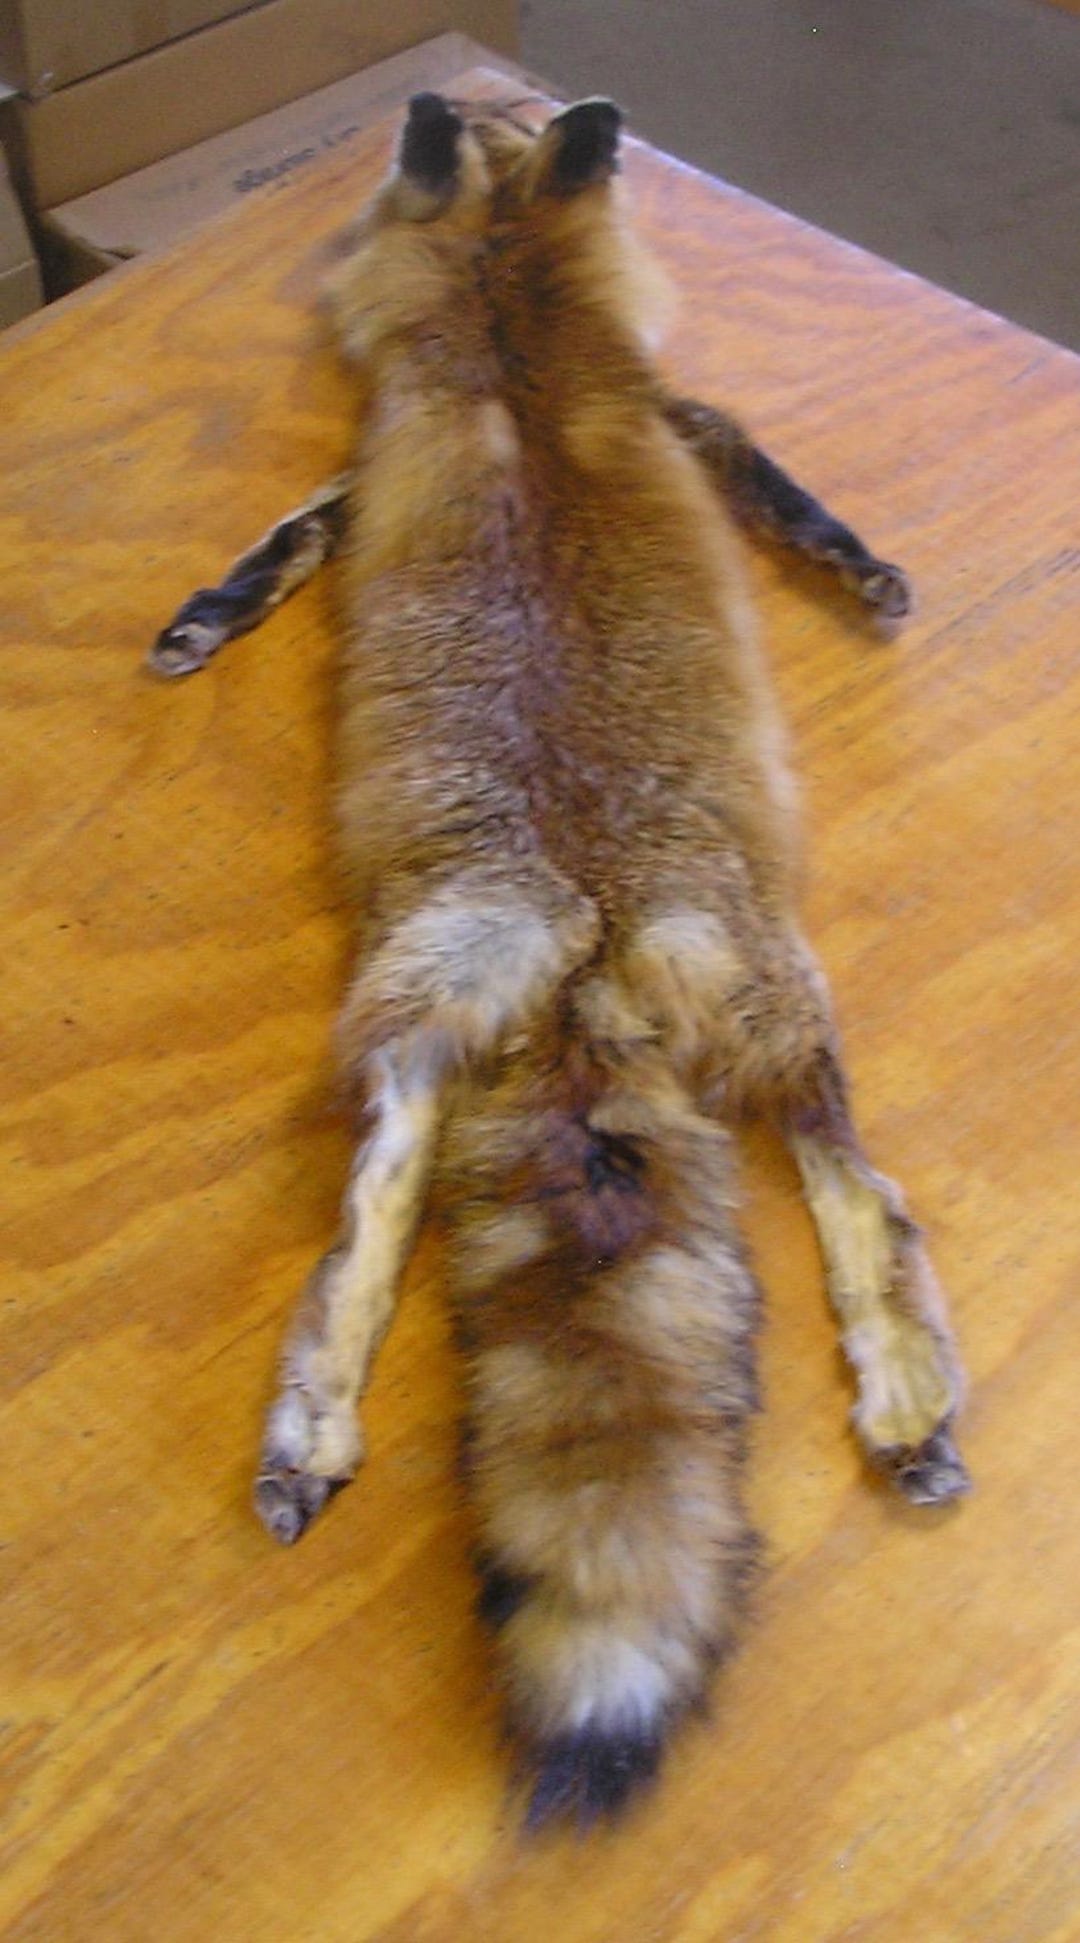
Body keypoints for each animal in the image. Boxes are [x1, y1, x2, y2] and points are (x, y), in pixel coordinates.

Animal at [151, 92, 968, 1829]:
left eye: (507, 115)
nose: (488, 101)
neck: (512, 316)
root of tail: (588, 924)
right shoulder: (621, 410)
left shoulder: (545, 423)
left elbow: (294, 528)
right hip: (672, 989)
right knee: (842, 1183)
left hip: (516, 982)